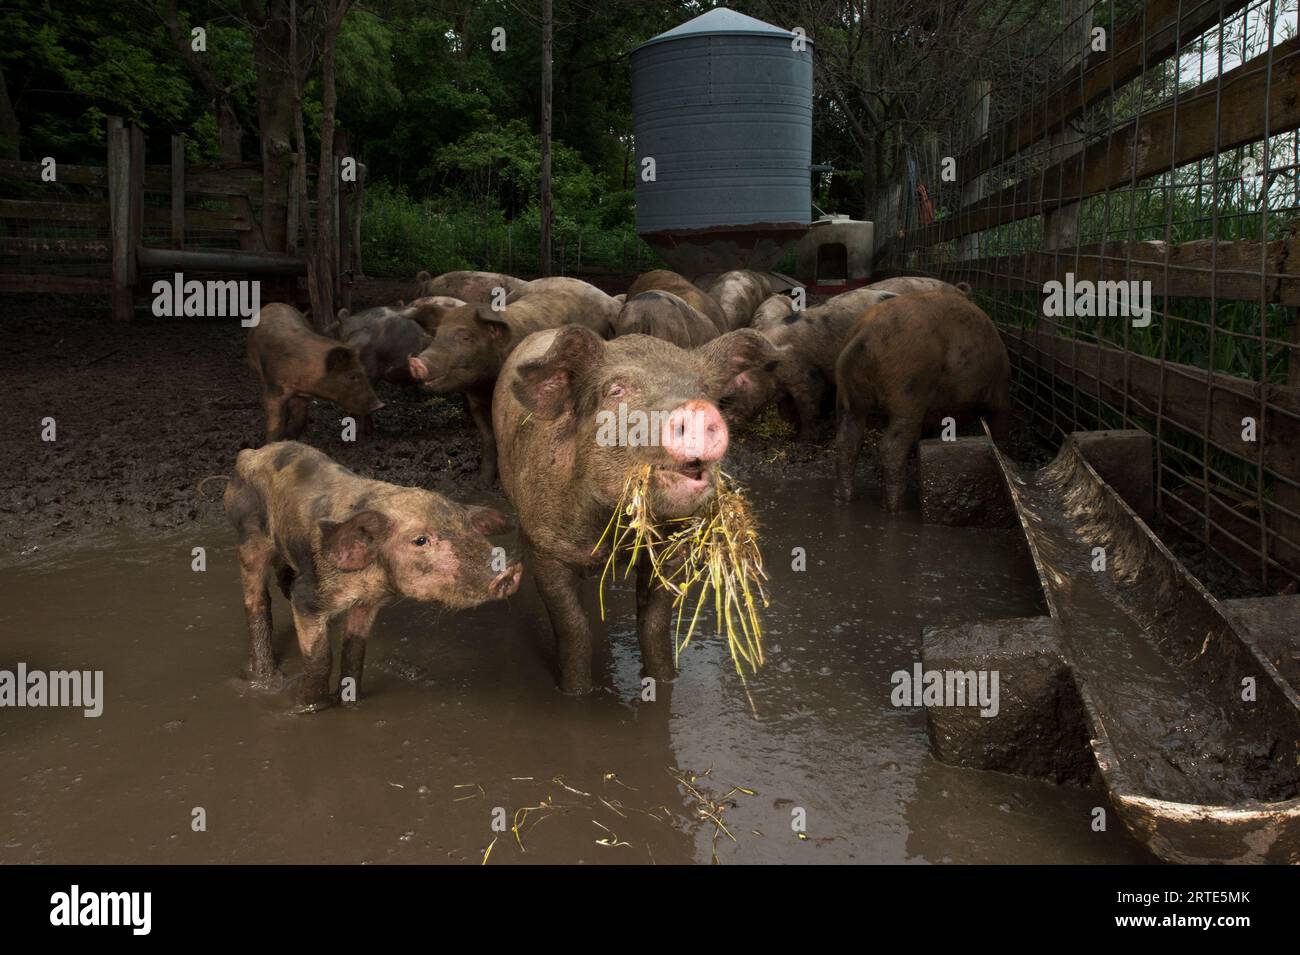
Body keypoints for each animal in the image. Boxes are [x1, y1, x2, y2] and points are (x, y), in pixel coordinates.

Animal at [225, 441, 522, 709]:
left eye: (469, 527)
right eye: (420, 540)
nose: (510, 571)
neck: (370, 580)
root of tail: (251, 453)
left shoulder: (368, 601)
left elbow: (355, 649)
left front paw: (350, 703)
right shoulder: (309, 595)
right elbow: (320, 655)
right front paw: (310, 707)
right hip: (249, 536)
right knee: (256, 601)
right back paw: (267, 678)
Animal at [246, 303, 382, 442]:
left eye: (363, 371)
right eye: (352, 376)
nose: (379, 405)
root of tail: (272, 304)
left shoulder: (302, 396)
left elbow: (301, 420)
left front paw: (289, 439)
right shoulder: (274, 390)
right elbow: (275, 423)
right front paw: (273, 442)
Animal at [407, 289, 614, 486]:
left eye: (465, 337)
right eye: (437, 335)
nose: (416, 362)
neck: (485, 385)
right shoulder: (476, 402)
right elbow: (488, 439)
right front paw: (481, 483)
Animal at [493, 325, 779, 695]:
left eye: (703, 390)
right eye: (616, 390)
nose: (696, 408)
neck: (615, 534)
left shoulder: (672, 554)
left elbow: (654, 625)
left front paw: (665, 680)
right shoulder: (547, 548)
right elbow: (574, 627)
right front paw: (575, 692)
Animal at [834, 291, 1010, 511]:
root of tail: (865, 332)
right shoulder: (999, 395)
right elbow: (999, 427)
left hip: (850, 398)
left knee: (847, 441)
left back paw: (843, 499)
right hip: (909, 387)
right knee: (890, 447)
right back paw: (895, 507)